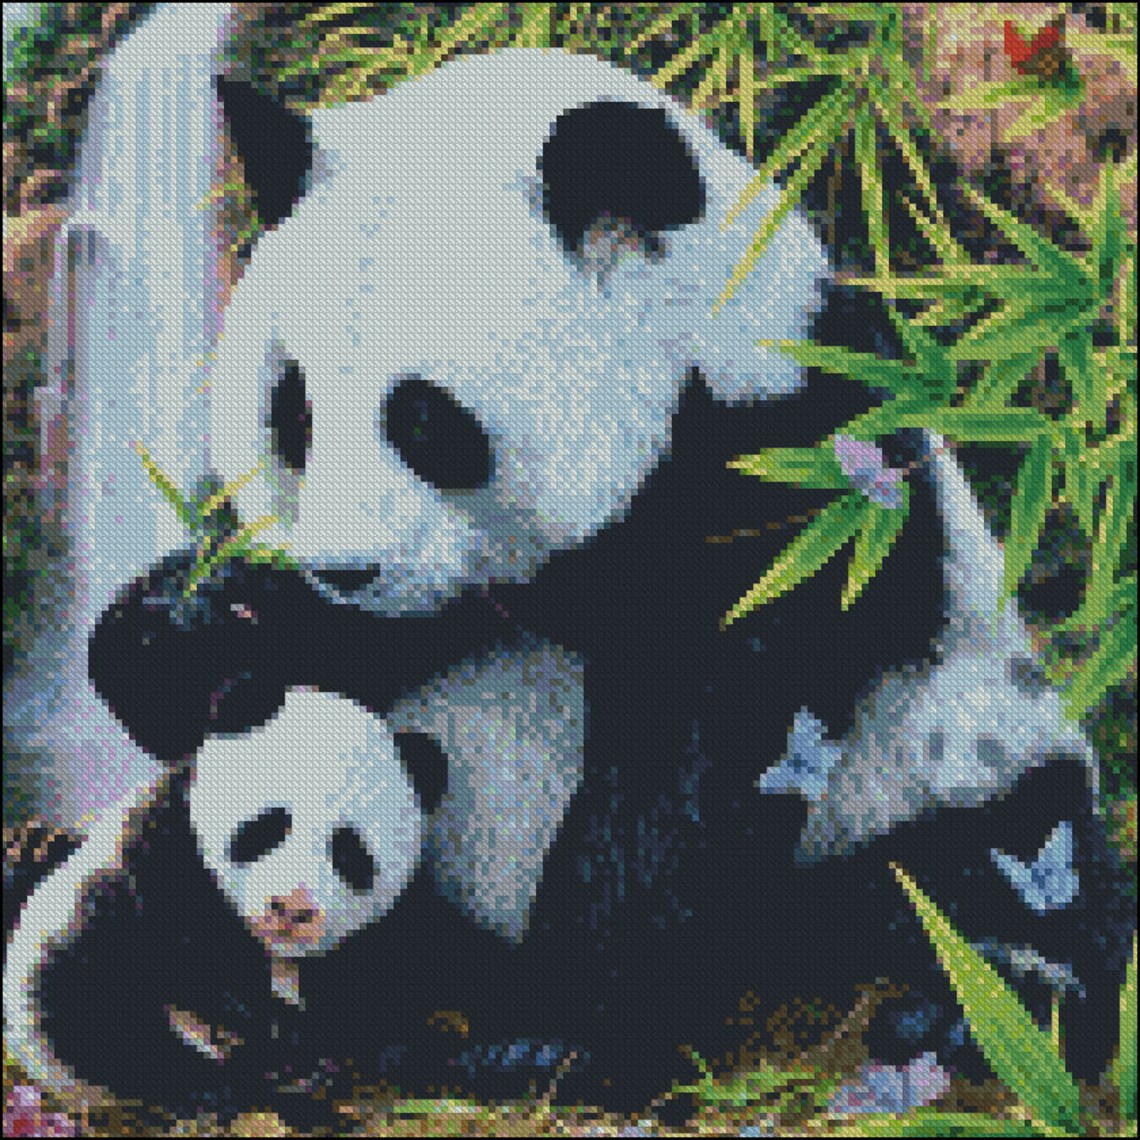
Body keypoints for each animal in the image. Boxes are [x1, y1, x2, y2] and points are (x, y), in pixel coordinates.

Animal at [28, 47, 1133, 1119]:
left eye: (422, 417)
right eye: (292, 408)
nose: (346, 567)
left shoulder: (800, 479)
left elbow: (698, 746)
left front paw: (552, 1039)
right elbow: (261, 692)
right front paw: (191, 620)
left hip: (947, 760)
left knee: (1007, 869)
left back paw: (972, 1005)